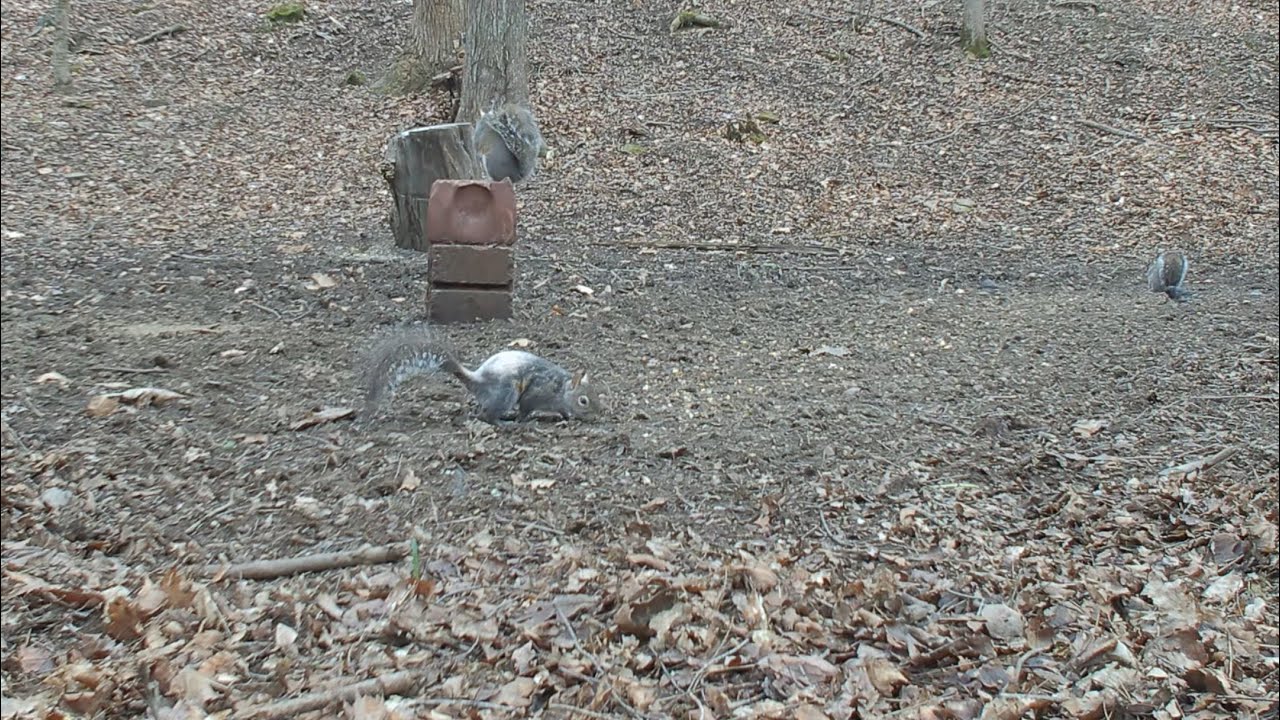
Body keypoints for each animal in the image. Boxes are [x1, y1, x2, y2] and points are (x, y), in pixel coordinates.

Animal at [362, 326, 599, 424]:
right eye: (584, 401)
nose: (599, 415)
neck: (561, 389)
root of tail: (479, 380)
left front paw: (568, 417)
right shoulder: (538, 393)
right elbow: (525, 408)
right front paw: (523, 420)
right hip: (507, 393)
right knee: (487, 416)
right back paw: (506, 423)